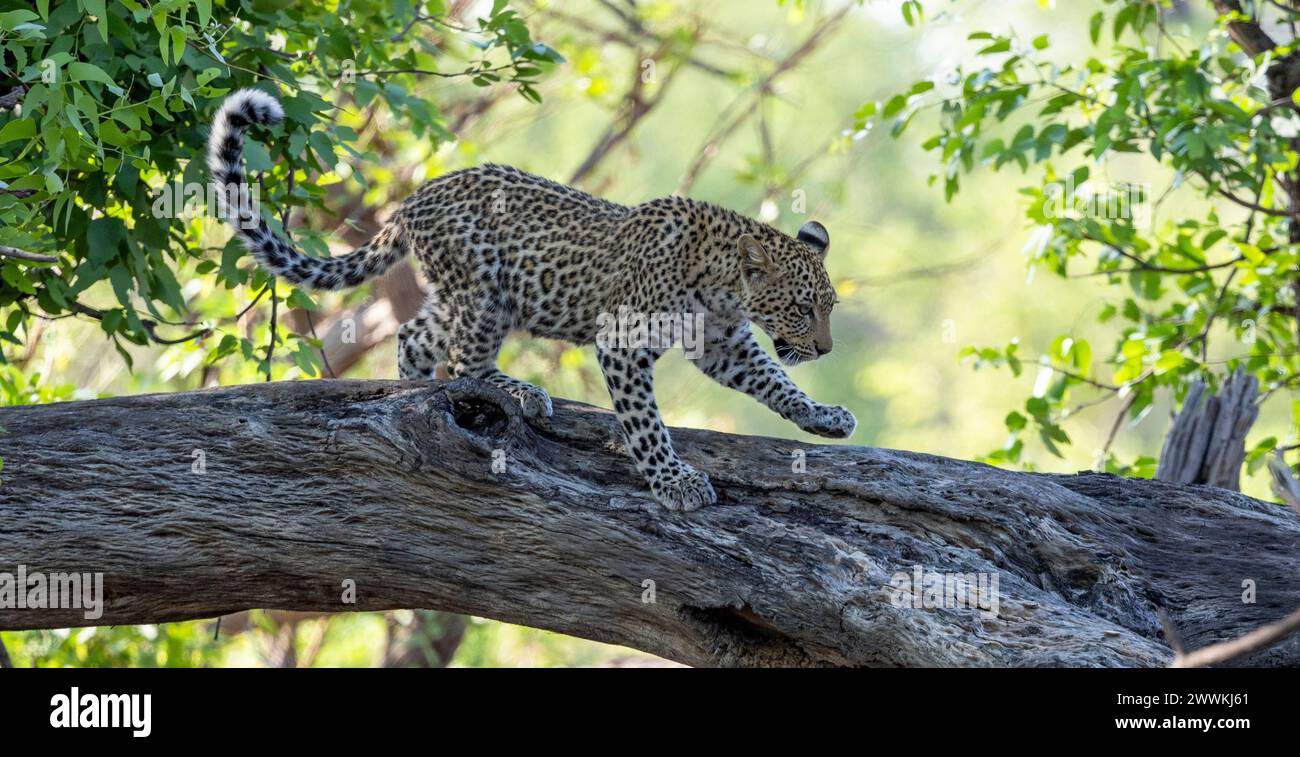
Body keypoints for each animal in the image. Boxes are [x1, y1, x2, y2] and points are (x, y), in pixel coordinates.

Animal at [208, 88, 856, 512]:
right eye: (803, 309)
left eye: (828, 309)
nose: (827, 350)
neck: (724, 287)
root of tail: (413, 201)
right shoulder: (623, 343)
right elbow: (646, 425)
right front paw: (674, 483)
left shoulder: (724, 344)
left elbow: (776, 382)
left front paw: (823, 416)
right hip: (484, 290)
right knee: (464, 361)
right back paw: (517, 393)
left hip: (462, 295)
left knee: (417, 335)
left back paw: (409, 388)